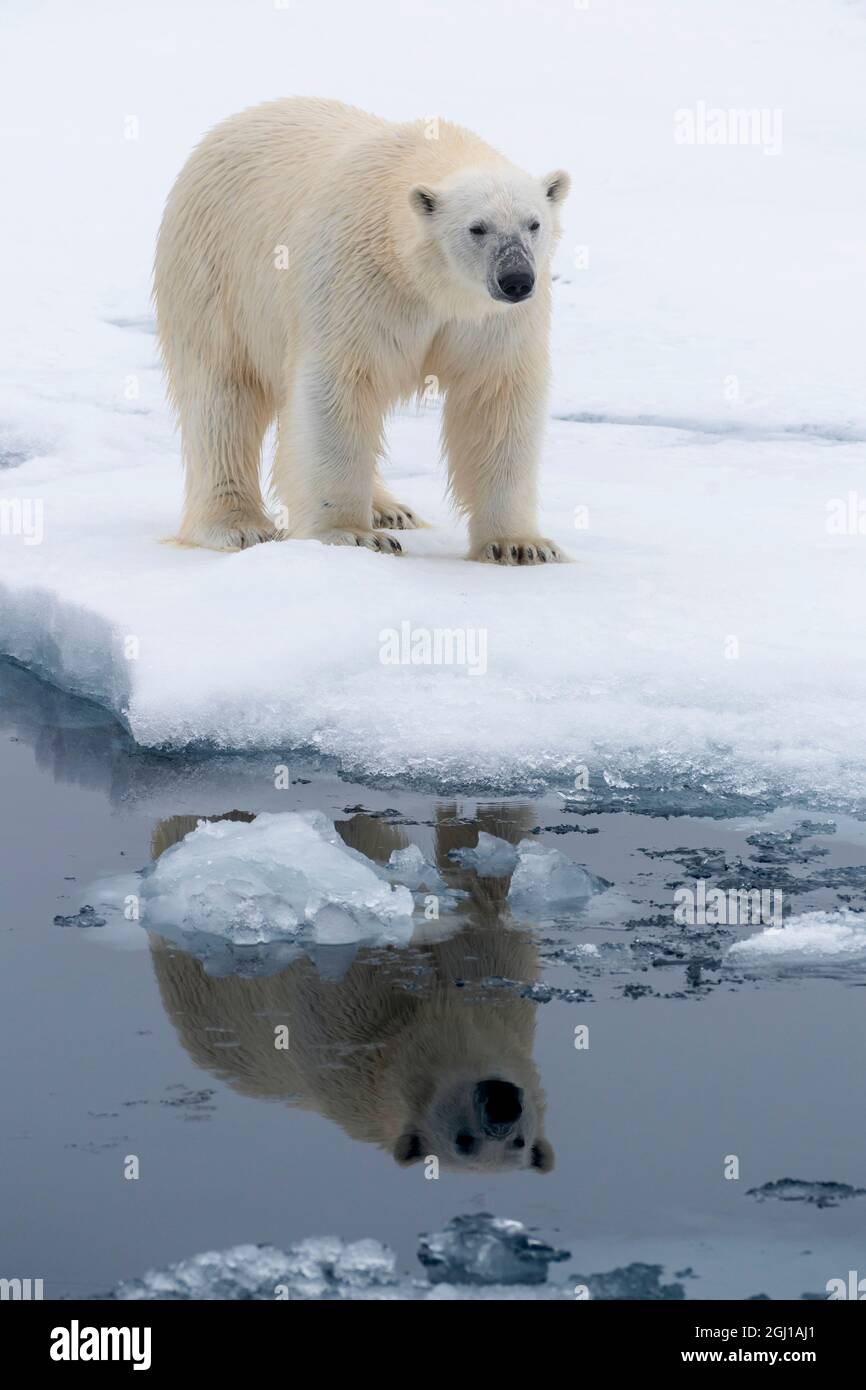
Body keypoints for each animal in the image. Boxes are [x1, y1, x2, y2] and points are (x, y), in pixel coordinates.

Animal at [153, 97, 570, 563]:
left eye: (533, 223)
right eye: (477, 227)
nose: (516, 279)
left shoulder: (491, 321)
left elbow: (497, 397)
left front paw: (520, 545)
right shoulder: (357, 279)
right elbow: (340, 386)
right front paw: (351, 534)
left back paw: (390, 508)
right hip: (214, 273)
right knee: (221, 393)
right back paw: (238, 526)